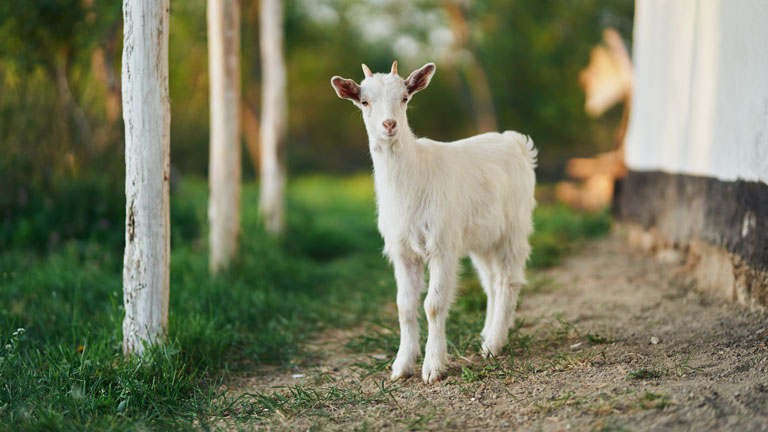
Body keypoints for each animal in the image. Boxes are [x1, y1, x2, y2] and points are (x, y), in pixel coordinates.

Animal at [331, 61, 537, 384]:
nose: (389, 125)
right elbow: (404, 306)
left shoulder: (443, 244)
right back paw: (488, 333)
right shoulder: (403, 250)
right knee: (491, 281)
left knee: (509, 279)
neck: (413, 177)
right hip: (481, 238)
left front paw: (433, 366)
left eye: (404, 98)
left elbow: (434, 304)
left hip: (514, 227)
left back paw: (493, 345)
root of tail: (515, 142)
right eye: (364, 102)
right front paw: (401, 366)